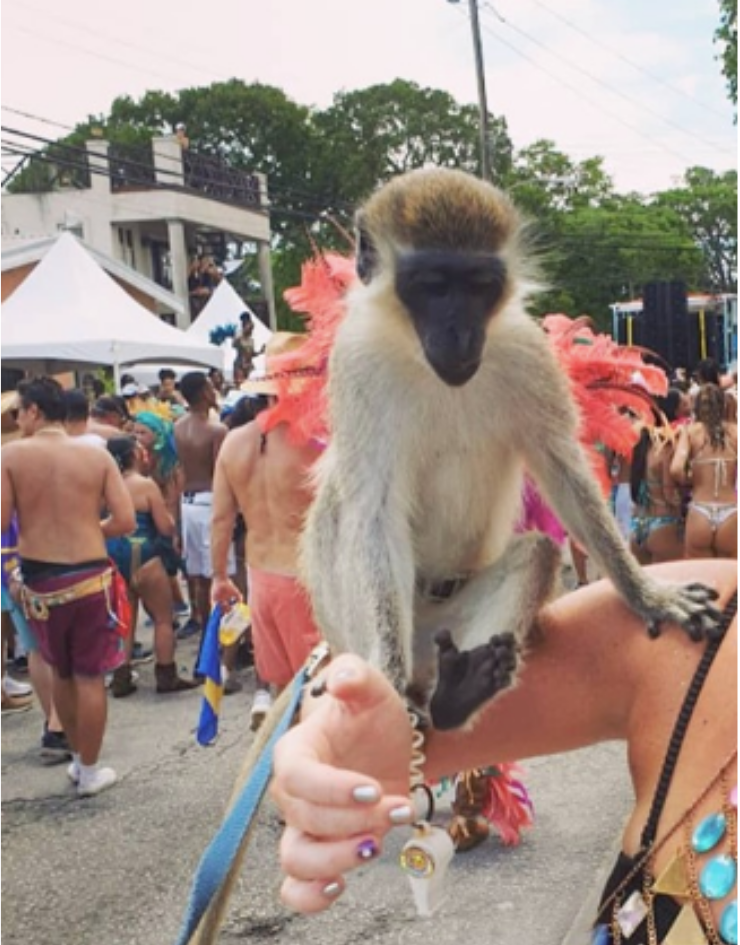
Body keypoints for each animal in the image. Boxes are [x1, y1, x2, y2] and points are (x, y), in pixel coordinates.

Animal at [299, 167, 720, 732]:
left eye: (480, 287)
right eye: (432, 287)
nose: (459, 334)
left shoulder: (527, 350)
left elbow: (562, 468)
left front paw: (647, 596)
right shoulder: (356, 362)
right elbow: (374, 512)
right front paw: (383, 682)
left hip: (445, 627)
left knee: (537, 552)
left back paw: (457, 691)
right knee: (340, 510)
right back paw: (402, 682)